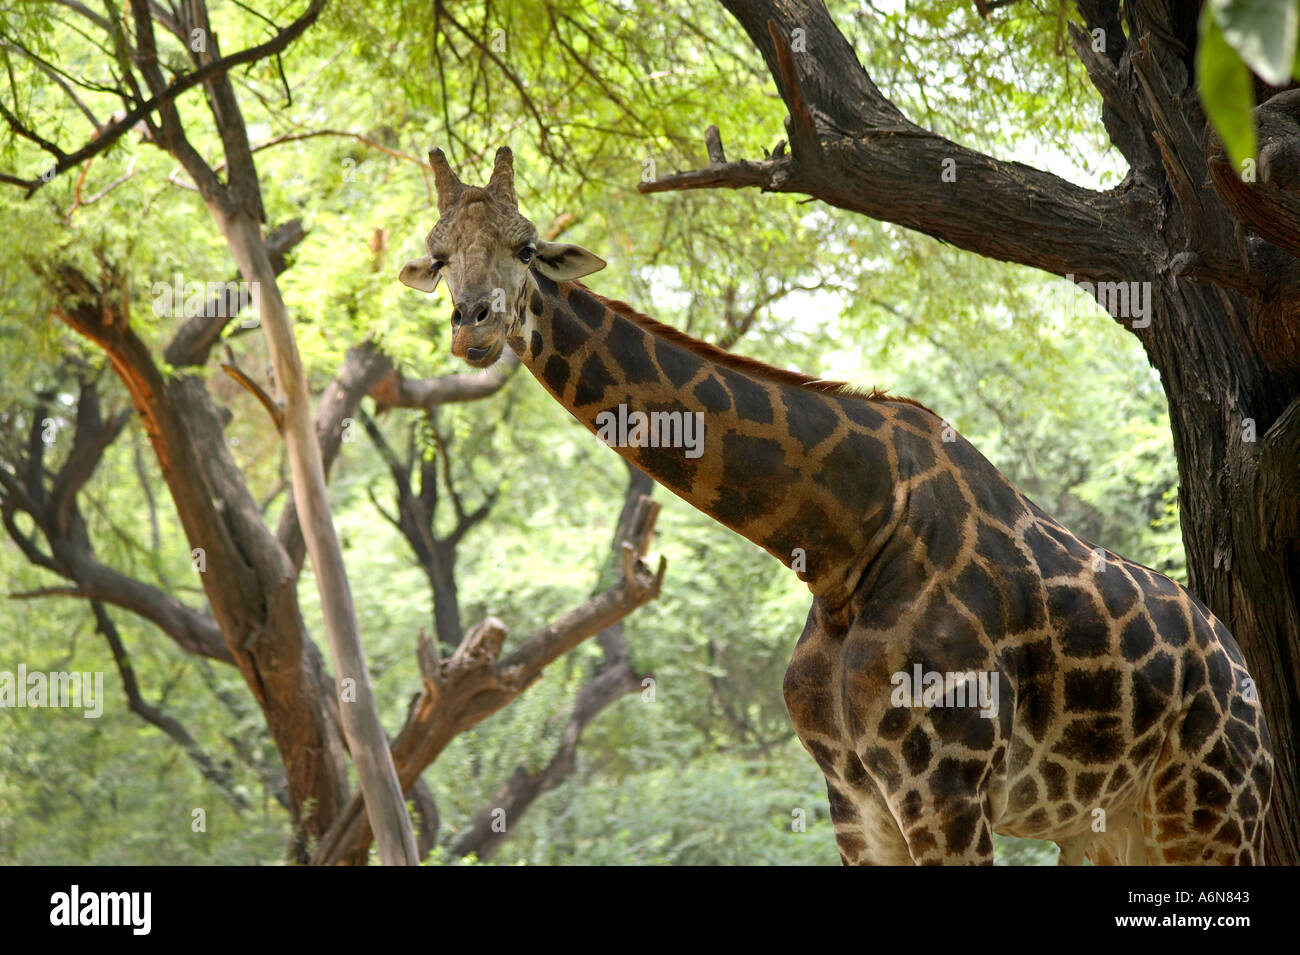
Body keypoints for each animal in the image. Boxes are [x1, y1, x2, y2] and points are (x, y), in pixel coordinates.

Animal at [398, 146, 1274, 865]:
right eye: (438, 257)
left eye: (525, 245)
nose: (473, 328)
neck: (842, 548)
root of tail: (1242, 668)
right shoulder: (856, 800)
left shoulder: (946, 791)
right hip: (1104, 826)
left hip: (1212, 812)